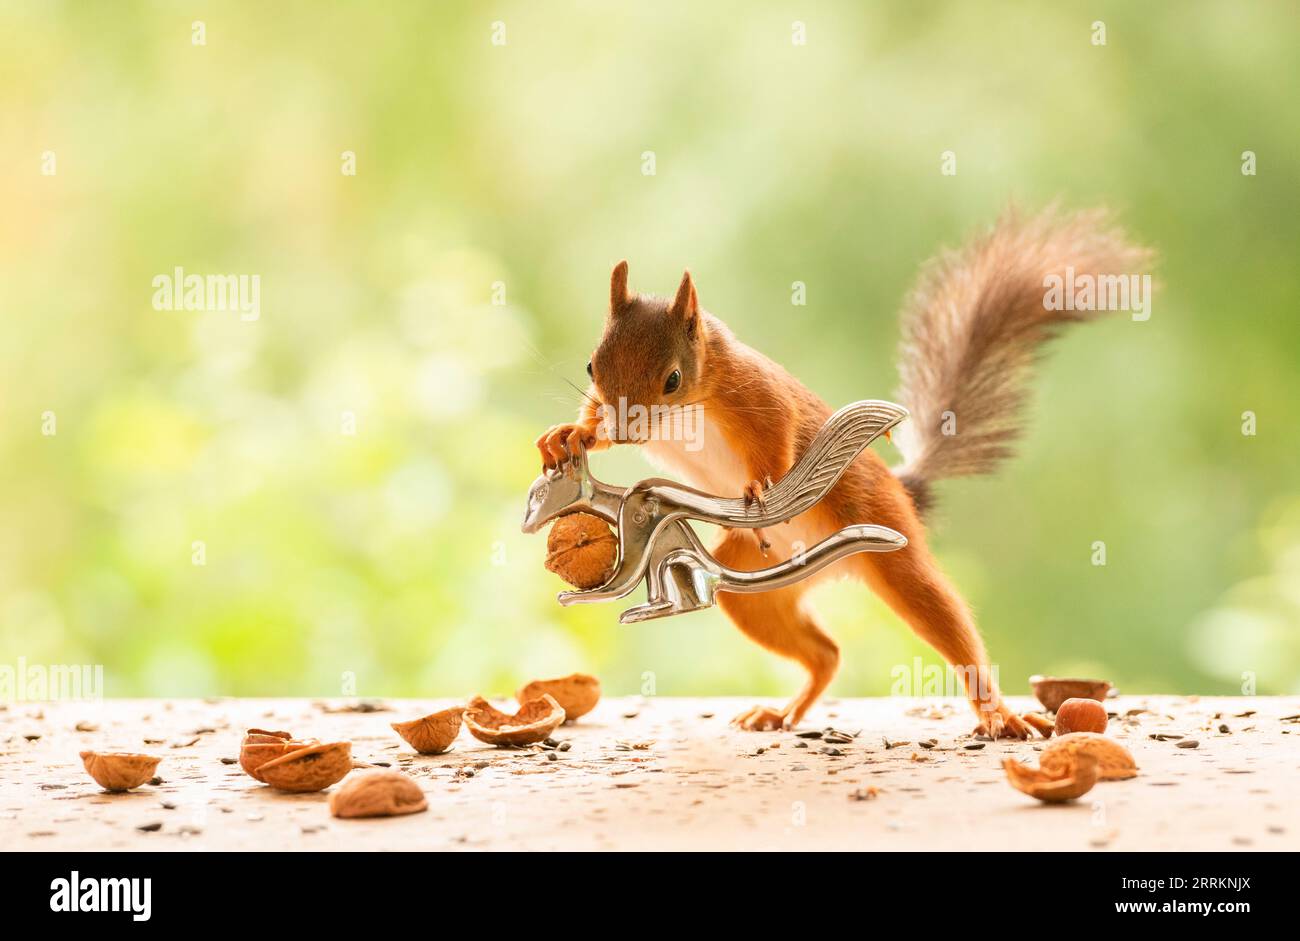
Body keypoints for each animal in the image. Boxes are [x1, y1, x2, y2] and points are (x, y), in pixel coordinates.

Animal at [537, 206, 1149, 737]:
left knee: (946, 627)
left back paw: (997, 713)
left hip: (893, 549)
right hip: (755, 587)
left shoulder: (755, 393)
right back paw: (780, 712)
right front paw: (569, 437)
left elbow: (777, 434)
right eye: (591, 366)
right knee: (826, 655)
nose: (627, 429)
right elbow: (590, 425)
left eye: (671, 379)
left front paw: (758, 486)